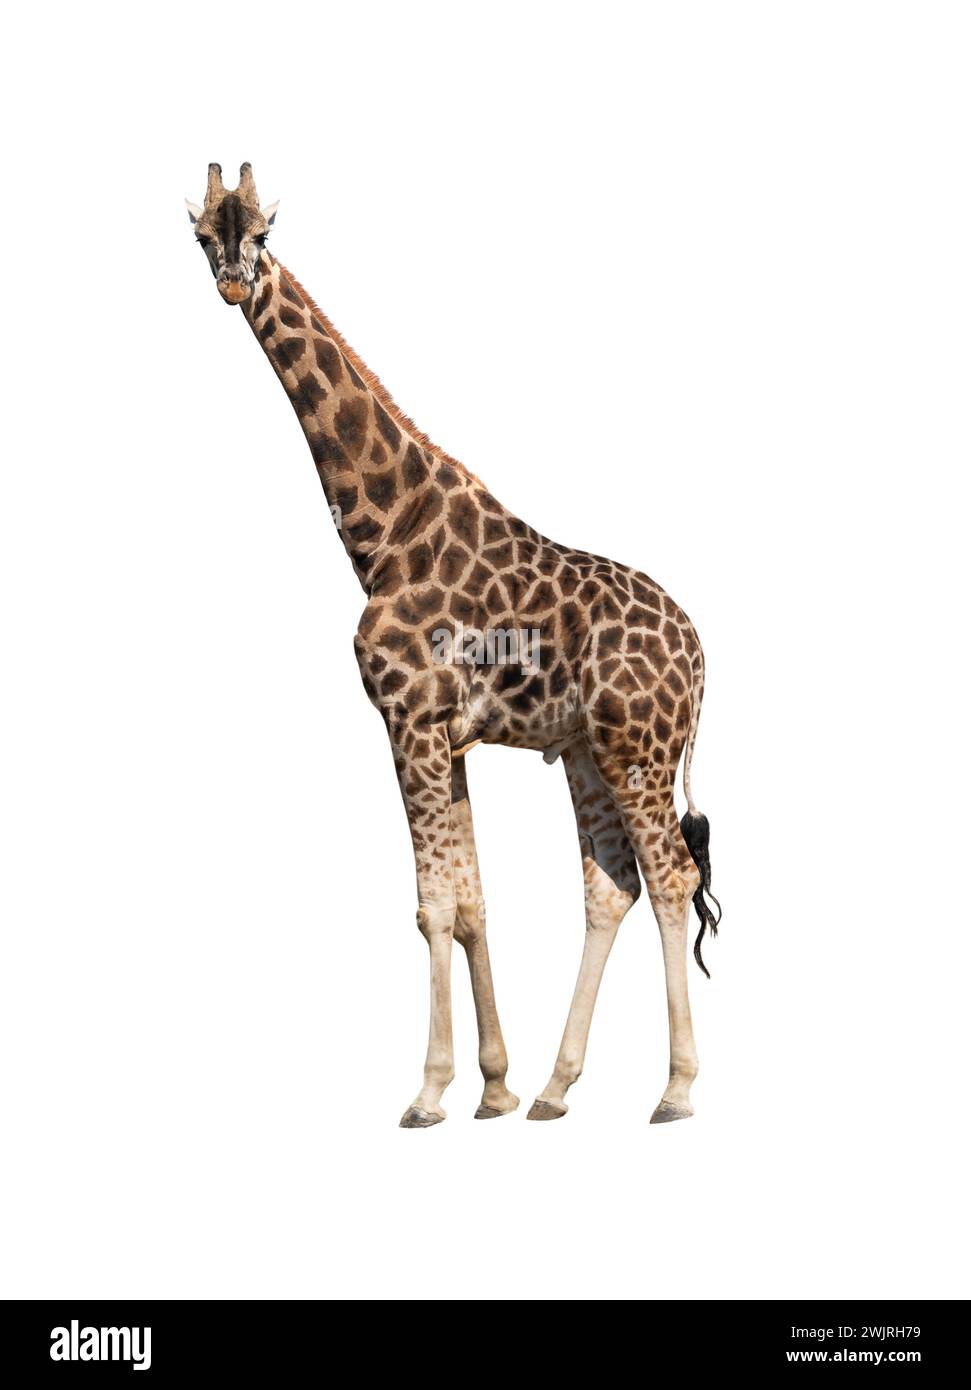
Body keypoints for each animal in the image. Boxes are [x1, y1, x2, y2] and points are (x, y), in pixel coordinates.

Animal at [186, 164, 722, 1127]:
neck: (385, 534)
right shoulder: (446, 733)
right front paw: (496, 1086)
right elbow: (469, 901)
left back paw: (674, 1089)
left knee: (668, 878)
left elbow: (433, 906)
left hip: (638, 747)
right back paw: (555, 1087)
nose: (236, 284)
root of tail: (700, 655)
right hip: (585, 749)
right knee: (610, 883)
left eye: (265, 232)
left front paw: (430, 1092)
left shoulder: (407, 719)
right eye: (203, 233)